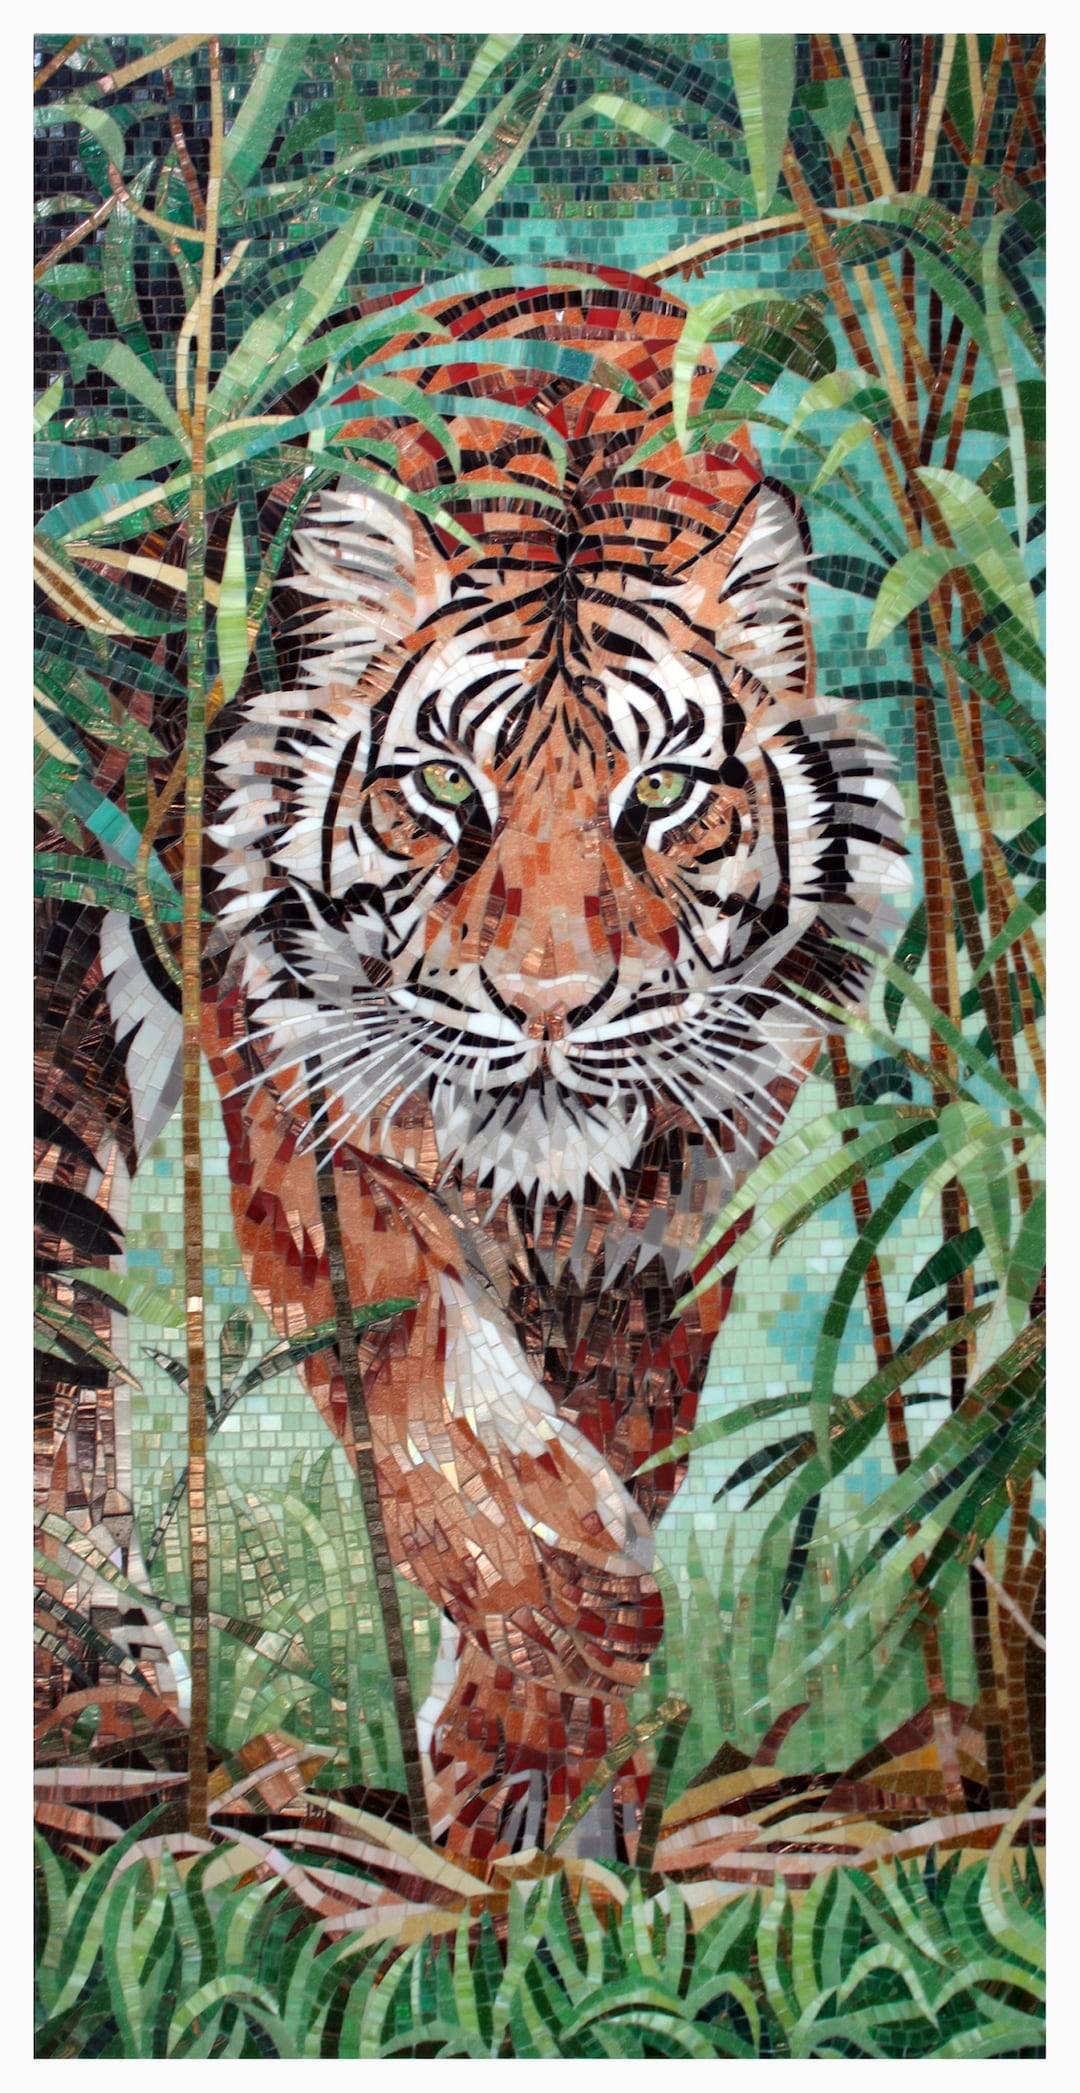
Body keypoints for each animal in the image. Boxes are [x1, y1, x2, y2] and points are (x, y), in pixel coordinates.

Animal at [198, 269, 907, 1861]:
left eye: (665, 794)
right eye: (443, 786)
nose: (546, 1003)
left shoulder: (678, 1216)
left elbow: (624, 1422)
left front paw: (540, 1765)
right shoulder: (303, 1126)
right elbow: (424, 1367)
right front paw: (577, 1592)